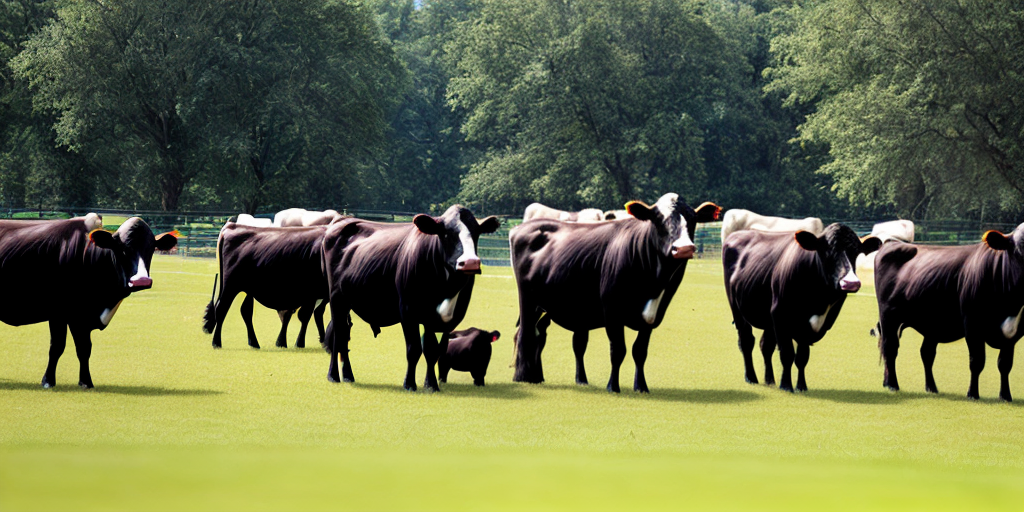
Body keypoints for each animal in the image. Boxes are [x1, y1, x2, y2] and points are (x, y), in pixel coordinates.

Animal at [0, 216, 178, 388]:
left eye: (151, 248)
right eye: (122, 249)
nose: (141, 280)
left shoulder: (82, 317)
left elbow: (85, 348)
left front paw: (85, 381)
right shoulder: (60, 313)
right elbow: (58, 347)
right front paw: (49, 381)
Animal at [320, 205, 500, 391]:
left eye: (477, 231)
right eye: (446, 233)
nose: (470, 262)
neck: (446, 288)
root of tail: (343, 221)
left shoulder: (444, 319)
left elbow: (433, 350)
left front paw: (431, 385)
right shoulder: (407, 311)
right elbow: (414, 349)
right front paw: (409, 384)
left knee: (344, 338)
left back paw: (348, 375)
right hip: (337, 299)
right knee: (338, 336)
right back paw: (333, 375)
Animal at [510, 193, 721, 393]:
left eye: (693, 218)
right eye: (658, 219)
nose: (684, 248)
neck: (654, 283)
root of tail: (520, 228)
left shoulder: (652, 316)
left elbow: (640, 351)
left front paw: (641, 387)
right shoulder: (612, 311)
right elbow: (618, 350)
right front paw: (613, 386)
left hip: (547, 305)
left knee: (544, 334)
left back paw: (544, 377)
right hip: (527, 300)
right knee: (524, 334)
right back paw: (522, 377)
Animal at [722, 224, 880, 392]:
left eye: (855, 251)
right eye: (826, 250)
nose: (850, 282)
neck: (819, 301)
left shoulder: (808, 326)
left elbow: (802, 357)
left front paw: (801, 386)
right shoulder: (780, 315)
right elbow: (787, 354)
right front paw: (786, 385)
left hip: (769, 321)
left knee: (766, 346)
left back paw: (770, 380)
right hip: (738, 310)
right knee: (746, 342)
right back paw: (751, 377)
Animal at [872, 223, 1024, 402]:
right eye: (1019, 250)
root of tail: (891, 243)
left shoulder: (1014, 334)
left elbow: (1005, 364)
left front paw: (1005, 395)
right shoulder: (972, 324)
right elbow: (977, 361)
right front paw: (972, 393)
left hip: (931, 325)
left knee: (926, 353)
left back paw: (931, 387)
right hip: (888, 316)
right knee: (890, 347)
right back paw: (892, 384)